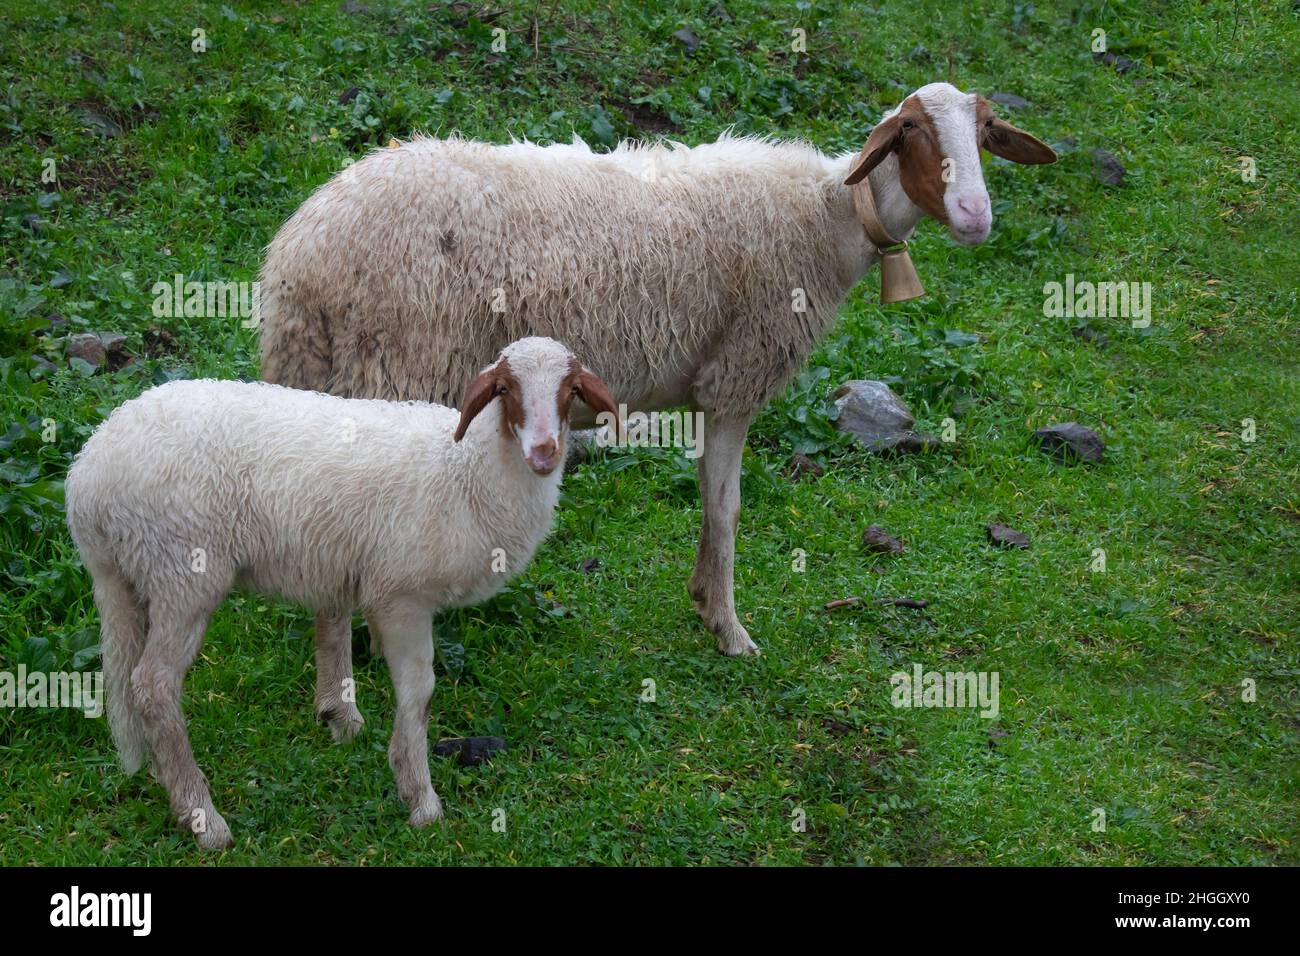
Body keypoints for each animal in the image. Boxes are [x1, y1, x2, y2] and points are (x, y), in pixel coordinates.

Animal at [65, 336, 619, 848]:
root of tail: (87, 478)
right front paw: (420, 798)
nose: (544, 451)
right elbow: (418, 693)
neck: (464, 470)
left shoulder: (343, 566)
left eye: (571, 390)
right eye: (505, 389)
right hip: (183, 572)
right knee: (153, 686)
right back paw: (204, 819)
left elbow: (333, 634)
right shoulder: (402, 598)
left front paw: (340, 718)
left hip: (132, 578)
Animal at [258, 81, 1056, 658]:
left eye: (985, 131)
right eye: (914, 131)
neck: (830, 218)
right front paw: (731, 631)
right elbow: (728, 509)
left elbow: (711, 503)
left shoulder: (708, 391)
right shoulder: (736, 375)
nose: (975, 215)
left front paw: (706, 605)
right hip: (394, 368)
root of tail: (300, 256)